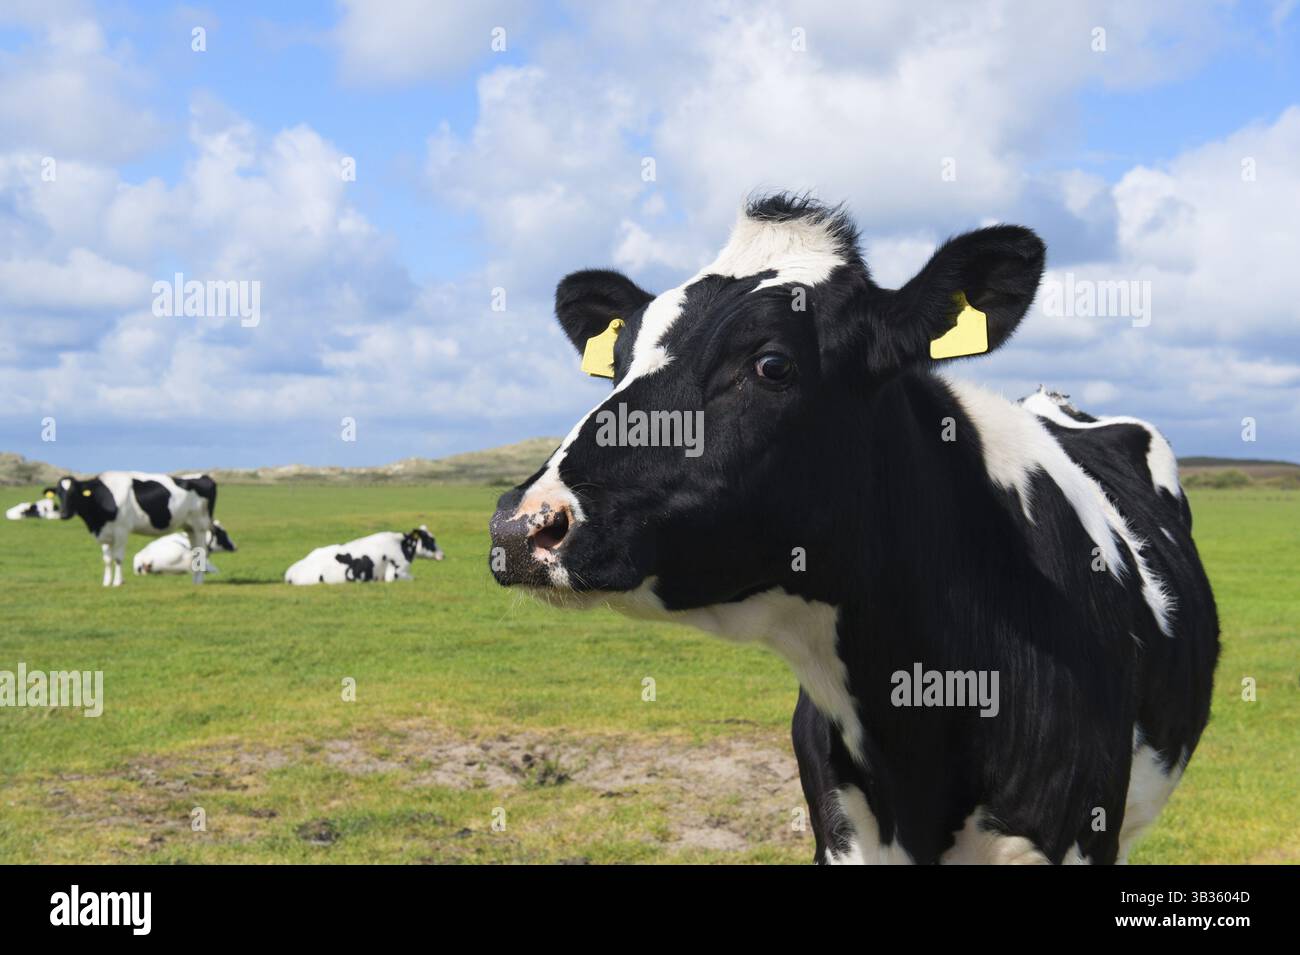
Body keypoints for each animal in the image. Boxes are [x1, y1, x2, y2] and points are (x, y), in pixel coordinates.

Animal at [55, 472, 219, 586]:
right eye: (59, 493)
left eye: (74, 493)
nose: (63, 514)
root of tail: (204, 476)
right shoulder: (105, 533)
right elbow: (107, 560)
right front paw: (106, 583)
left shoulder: (121, 530)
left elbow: (118, 558)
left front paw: (117, 582)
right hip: (190, 527)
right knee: (195, 552)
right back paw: (195, 581)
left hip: (200, 525)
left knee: (202, 551)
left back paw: (199, 582)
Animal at [283, 526, 443, 585]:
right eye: (431, 540)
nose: (443, 554)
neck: (401, 545)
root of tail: (290, 572)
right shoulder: (396, 573)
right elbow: (413, 578)